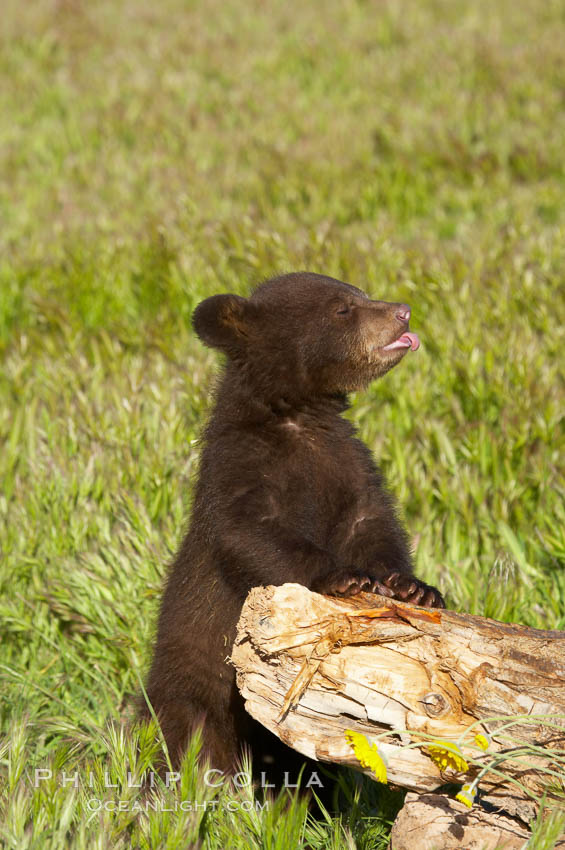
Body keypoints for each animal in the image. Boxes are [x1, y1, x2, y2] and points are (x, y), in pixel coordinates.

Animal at [141, 271, 444, 782]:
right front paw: (345, 577)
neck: (300, 418)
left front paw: (414, 587)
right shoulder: (242, 467)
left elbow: (372, 519)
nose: (402, 311)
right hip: (191, 692)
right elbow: (251, 532)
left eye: (361, 293)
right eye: (343, 308)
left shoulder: (347, 462)